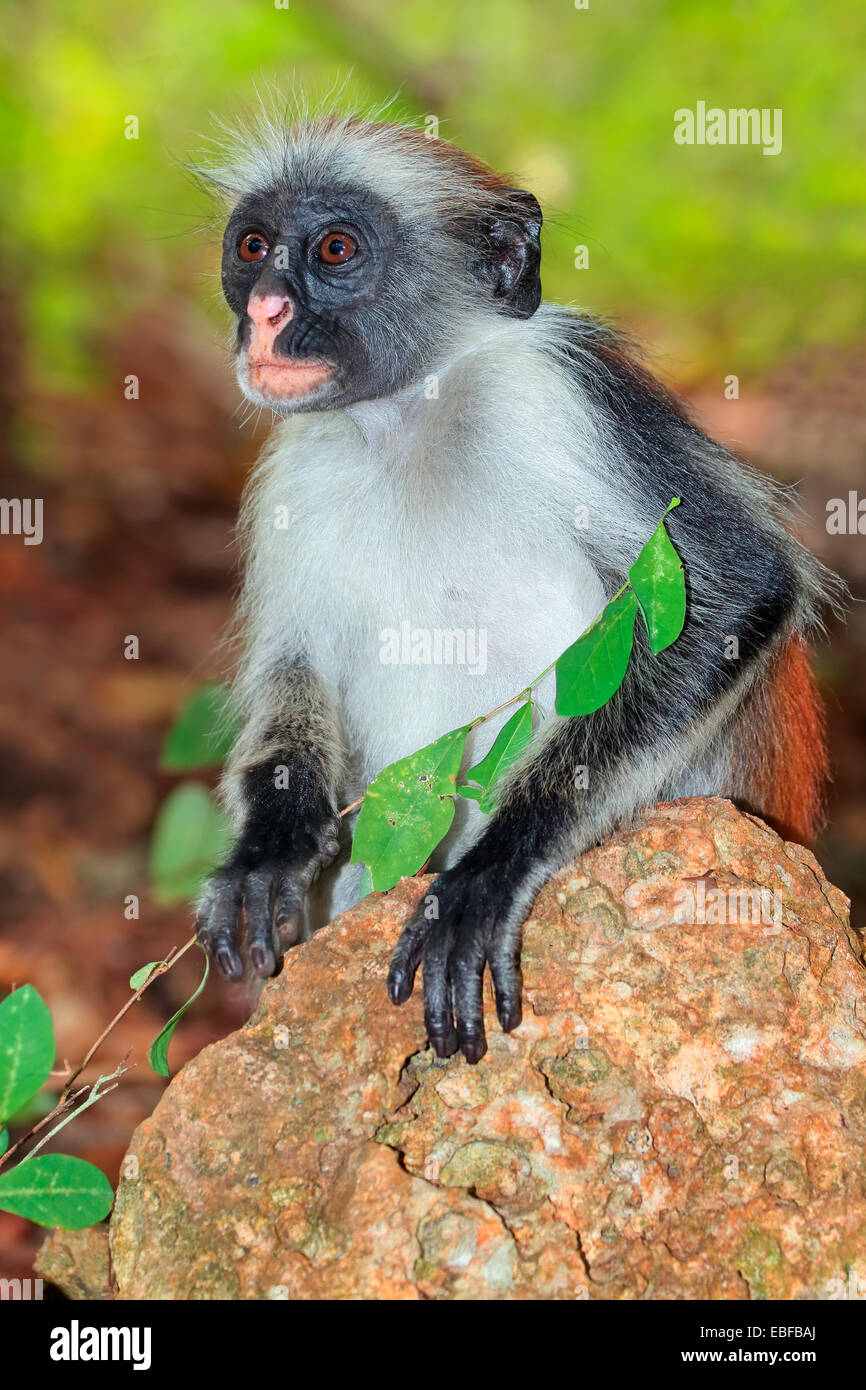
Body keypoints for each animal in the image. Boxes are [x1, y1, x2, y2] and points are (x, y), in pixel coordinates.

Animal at [193, 108, 845, 1061]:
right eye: (252, 246)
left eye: (336, 249)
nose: (266, 311)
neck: (406, 416)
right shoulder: (296, 463)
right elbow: (295, 662)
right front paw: (268, 851)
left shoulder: (555, 392)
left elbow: (741, 584)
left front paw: (489, 876)